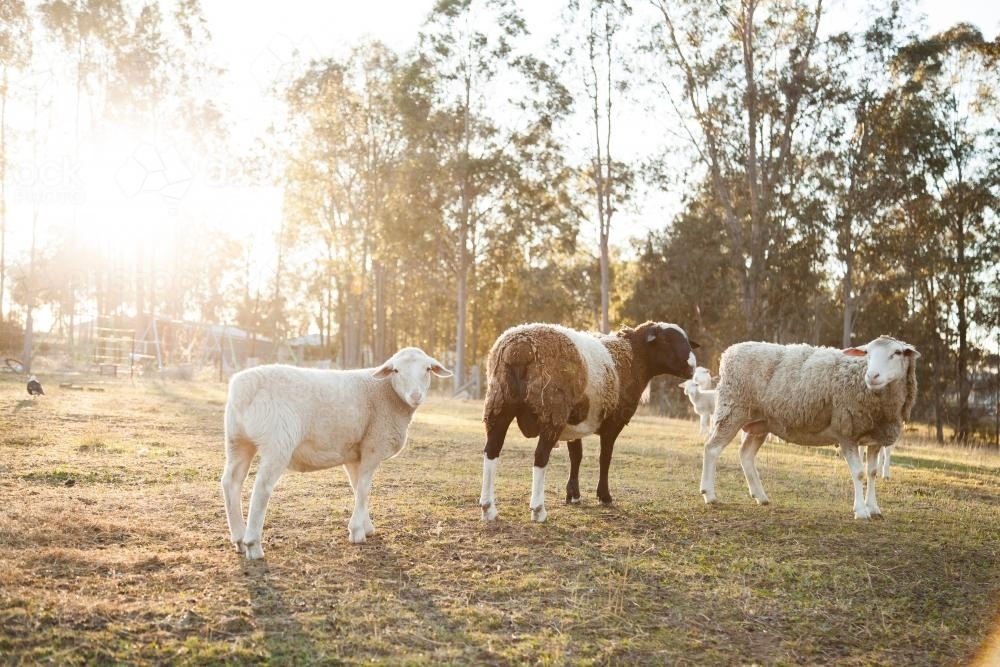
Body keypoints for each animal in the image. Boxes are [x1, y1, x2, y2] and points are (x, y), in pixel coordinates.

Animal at [221, 347, 452, 559]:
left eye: (427, 369)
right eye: (395, 370)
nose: (415, 396)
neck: (387, 394)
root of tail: (243, 388)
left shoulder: (354, 454)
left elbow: (357, 487)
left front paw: (366, 527)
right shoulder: (373, 445)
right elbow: (364, 488)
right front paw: (356, 531)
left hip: (236, 440)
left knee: (231, 482)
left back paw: (239, 539)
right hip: (278, 442)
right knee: (261, 488)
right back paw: (253, 545)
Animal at [479, 321, 699, 523]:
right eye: (667, 340)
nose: (692, 368)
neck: (633, 357)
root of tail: (518, 348)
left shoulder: (574, 424)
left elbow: (576, 457)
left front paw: (573, 495)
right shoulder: (613, 422)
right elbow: (605, 458)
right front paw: (604, 496)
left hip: (498, 404)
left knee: (491, 450)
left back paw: (488, 508)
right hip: (552, 411)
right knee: (540, 457)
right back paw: (538, 510)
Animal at [699, 335, 919, 519]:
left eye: (897, 353)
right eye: (868, 354)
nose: (872, 376)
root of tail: (730, 351)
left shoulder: (876, 438)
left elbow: (872, 473)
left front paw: (874, 508)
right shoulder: (846, 433)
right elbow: (859, 473)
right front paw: (861, 511)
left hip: (760, 423)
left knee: (745, 455)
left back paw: (760, 496)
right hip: (732, 410)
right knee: (712, 449)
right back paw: (709, 494)